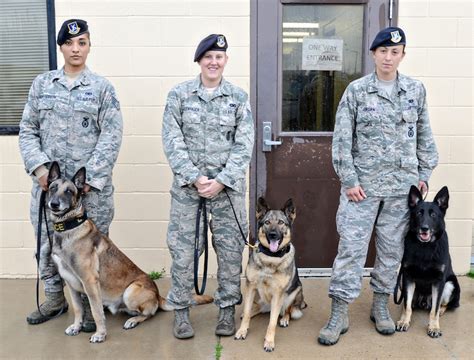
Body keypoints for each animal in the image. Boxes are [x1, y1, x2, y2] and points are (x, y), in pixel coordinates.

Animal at [45, 163, 211, 344]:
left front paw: (100, 334)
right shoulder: (71, 283)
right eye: (53, 188)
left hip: (130, 292)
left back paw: (133, 320)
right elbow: (77, 309)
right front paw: (76, 327)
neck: (69, 228)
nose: (54, 204)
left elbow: (96, 312)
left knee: (149, 314)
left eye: (69, 191)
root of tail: (158, 295)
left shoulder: (90, 282)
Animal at [234, 197, 308, 352]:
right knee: (255, 309)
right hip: (259, 297)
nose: (273, 234)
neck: (271, 257)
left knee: (288, 310)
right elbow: (247, 312)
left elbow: (272, 322)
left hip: (294, 291)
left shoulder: (279, 294)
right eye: (267, 222)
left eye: (281, 222)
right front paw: (242, 331)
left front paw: (269, 342)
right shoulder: (251, 287)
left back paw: (284, 318)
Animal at [396, 186, 460, 338]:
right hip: (402, 281)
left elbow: (434, 310)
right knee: (407, 303)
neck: (425, 247)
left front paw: (434, 327)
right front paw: (404, 321)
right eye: (419, 213)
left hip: (450, 284)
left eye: (434, 215)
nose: (424, 228)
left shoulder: (439, 281)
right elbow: (407, 305)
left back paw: (441, 311)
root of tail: (424, 301)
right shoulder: (407, 276)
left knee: (443, 305)